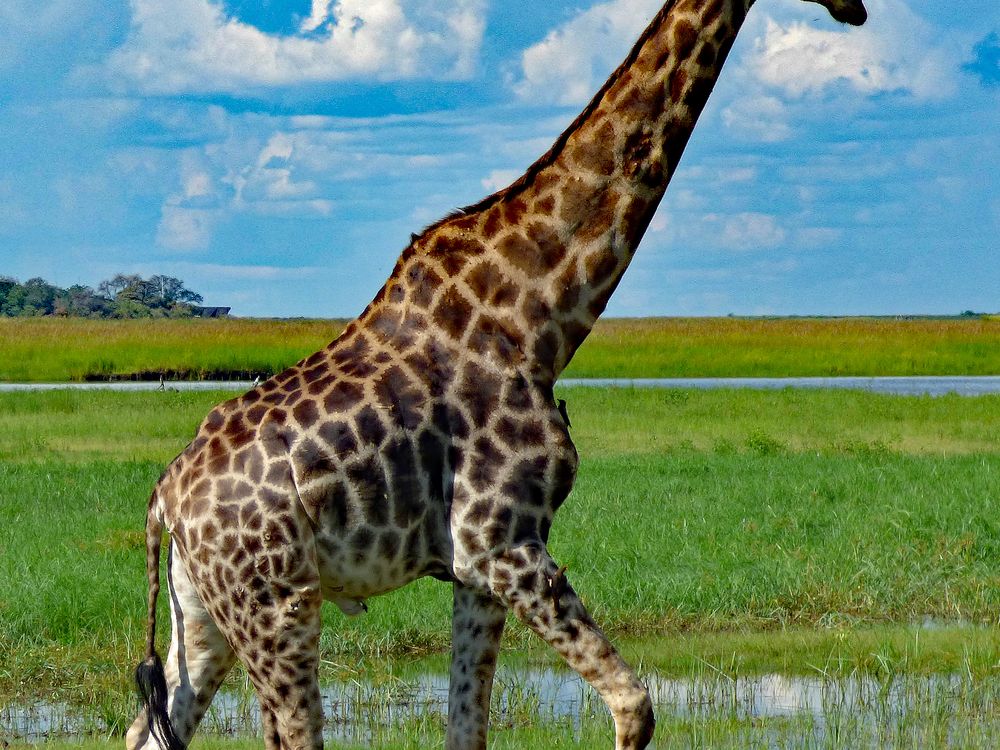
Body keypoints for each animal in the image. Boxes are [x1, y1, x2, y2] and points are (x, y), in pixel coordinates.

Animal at [127, 1, 868, 749]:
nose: (857, 11)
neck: (539, 317)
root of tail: (166, 501)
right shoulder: (504, 541)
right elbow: (634, 704)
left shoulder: (476, 571)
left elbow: (468, 729)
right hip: (276, 604)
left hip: (207, 611)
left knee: (147, 728)